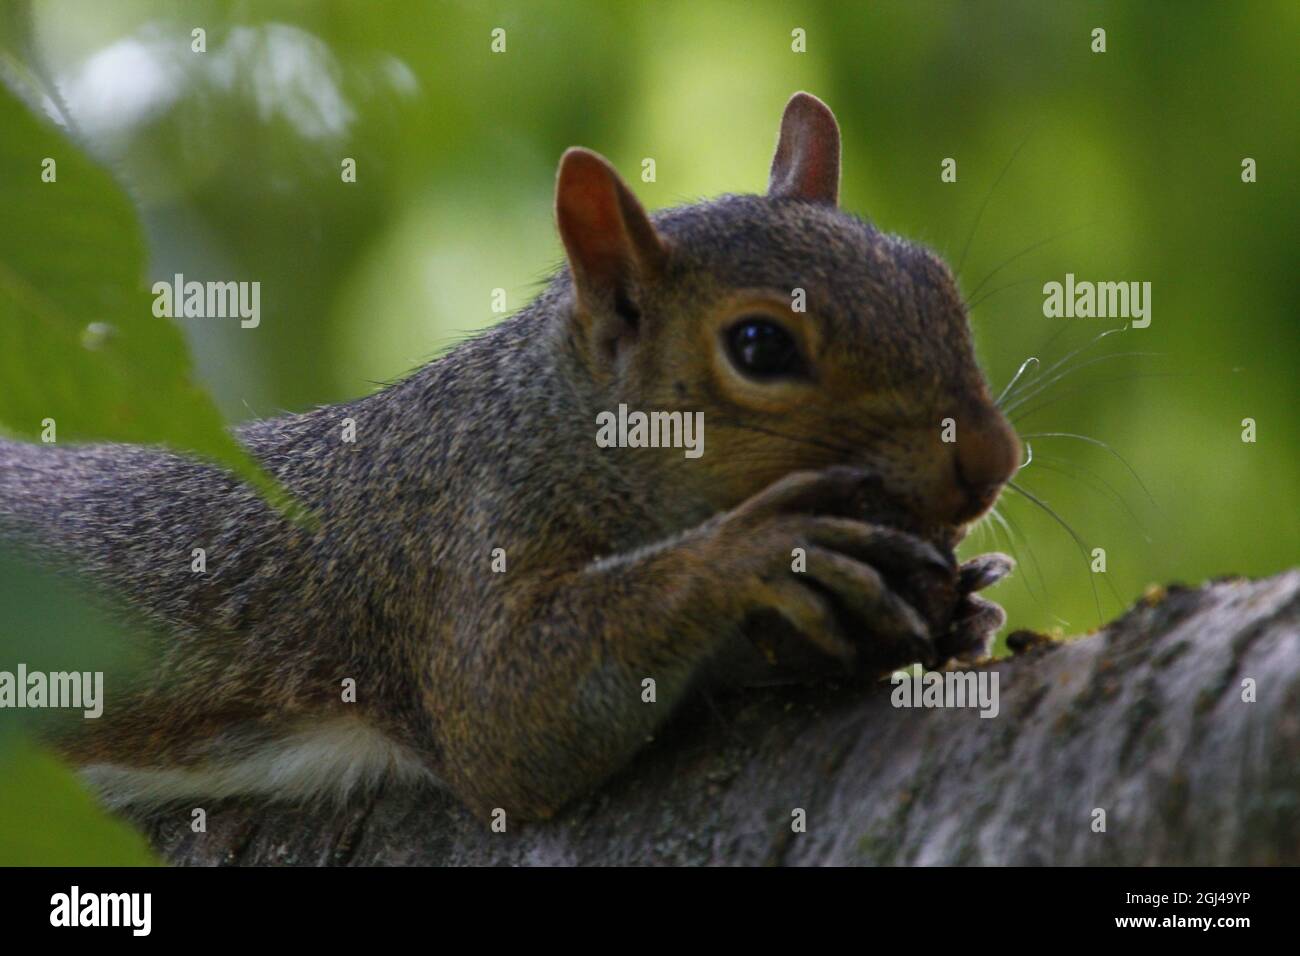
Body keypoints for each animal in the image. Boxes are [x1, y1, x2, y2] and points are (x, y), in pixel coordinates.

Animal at [0, 93, 1020, 821]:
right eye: (761, 346)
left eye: (934, 279)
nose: (993, 460)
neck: (553, 426)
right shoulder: (453, 547)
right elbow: (506, 721)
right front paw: (754, 551)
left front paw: (962, 606)